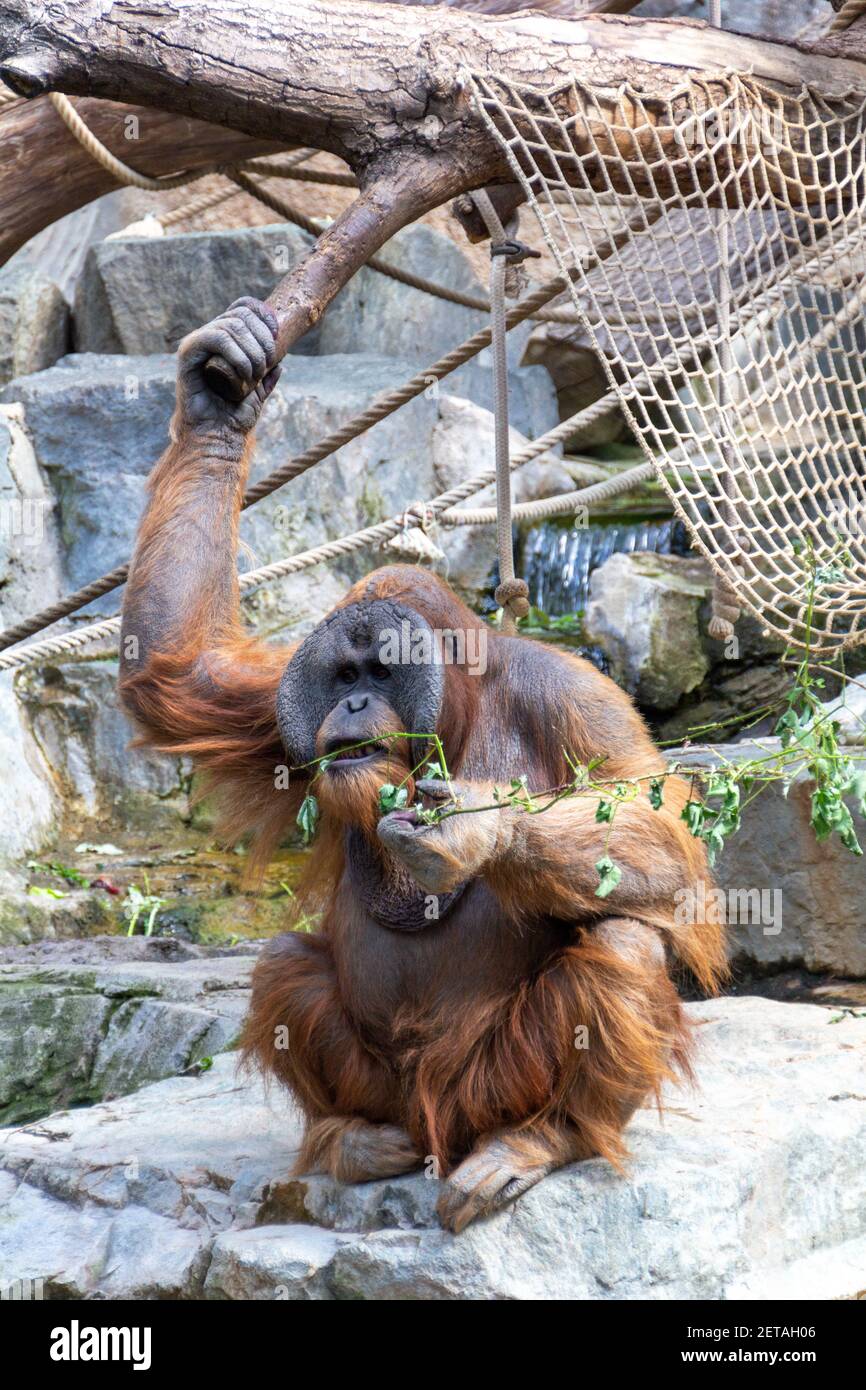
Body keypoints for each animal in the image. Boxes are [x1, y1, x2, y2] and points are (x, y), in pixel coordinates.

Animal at [119, 297, 726, 1233]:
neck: (465, 715)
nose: (352, 707)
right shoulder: (271, 714)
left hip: (489, 1082)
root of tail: (435, 1122)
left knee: (623, 940)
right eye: (341, 675)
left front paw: (472, 831)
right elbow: (175, 676)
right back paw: (352, 1141)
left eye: (380, 671)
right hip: (393, 1088)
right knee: (284, 961)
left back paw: (542, 1141)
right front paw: (219, 394)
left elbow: (664, 836)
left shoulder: (575, 693)